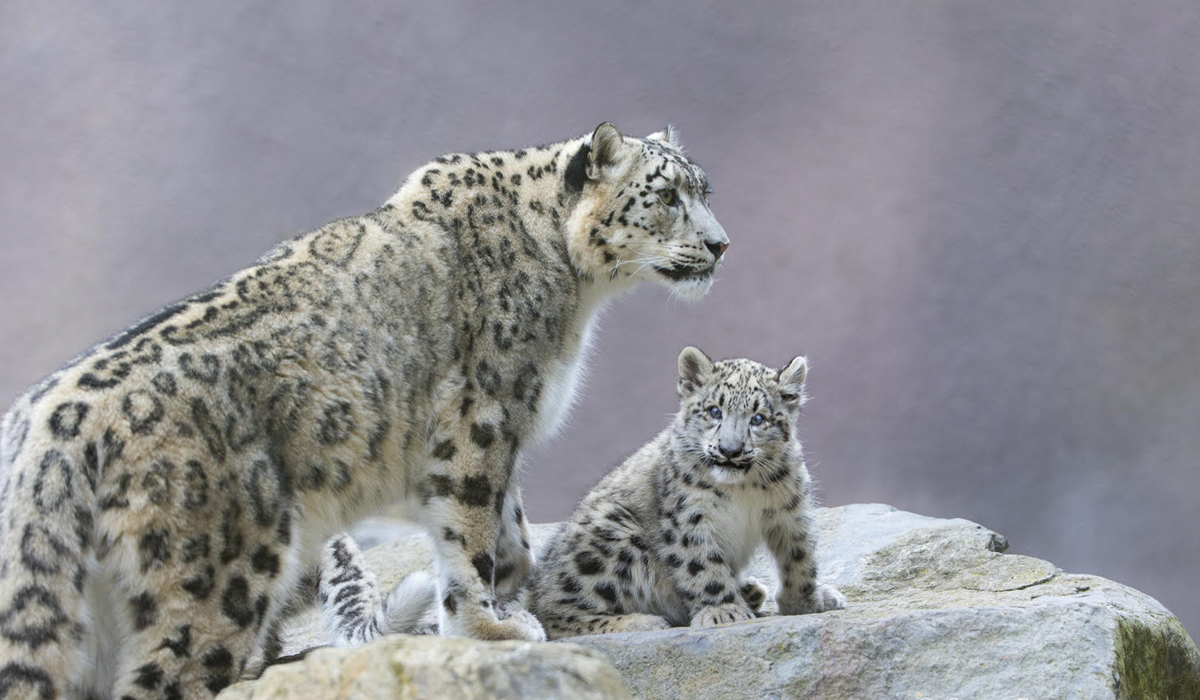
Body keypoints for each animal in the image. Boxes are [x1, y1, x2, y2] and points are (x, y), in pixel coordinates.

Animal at [0, 122, 729, 699]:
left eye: (704, 191)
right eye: (668, 196)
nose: (721, 245)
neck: (576, 292)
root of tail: (47, 418)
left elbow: (510, 533)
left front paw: (503, 592)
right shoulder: (481, 419)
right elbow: (470, 530)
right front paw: (490, 626)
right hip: (212, 577)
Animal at [531, 347, 844, 639]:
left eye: (758, 418)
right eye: (714, 411)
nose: (730, 450)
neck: (745, 489)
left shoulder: (790, 508)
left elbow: (800, 556)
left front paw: (807, 600)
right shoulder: (690, 515)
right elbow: (702, 565)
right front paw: (724, 611)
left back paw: (750, 591)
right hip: (611, 534)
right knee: (555, 616)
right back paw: (643, 621)